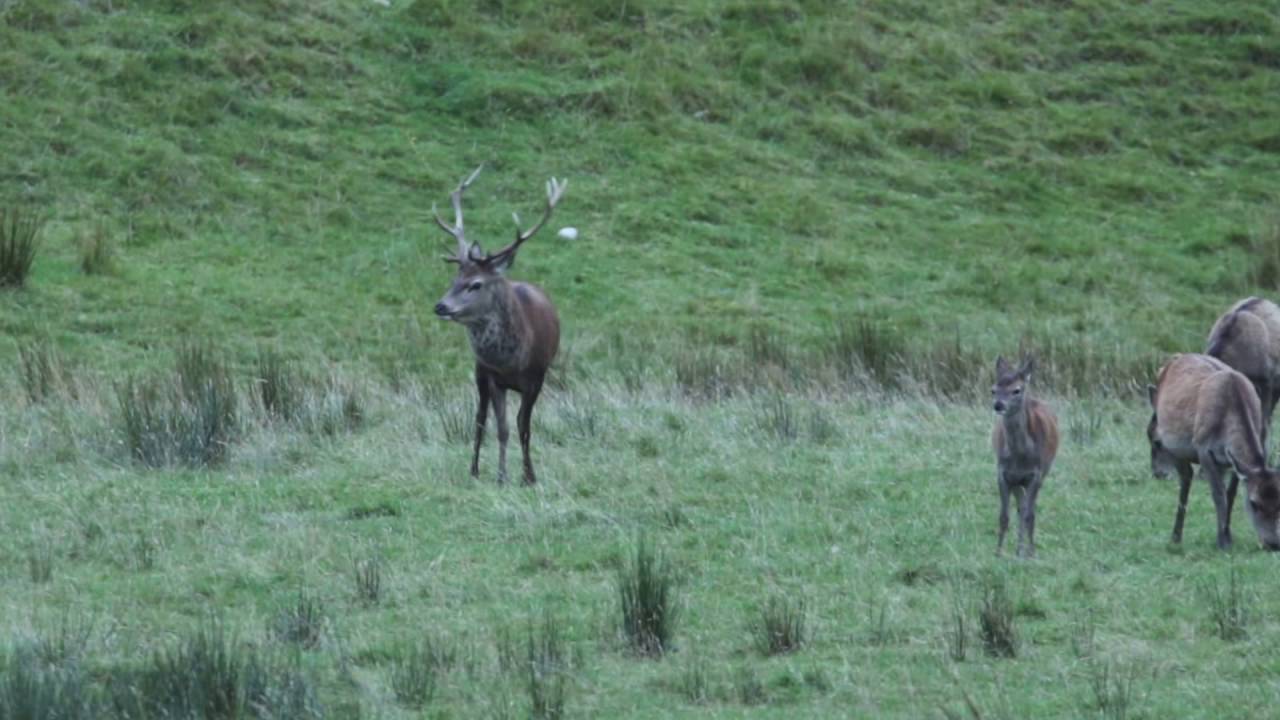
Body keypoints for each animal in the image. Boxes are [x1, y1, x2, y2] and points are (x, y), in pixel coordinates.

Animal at [431, 166, 566, 485]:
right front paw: (502, 475)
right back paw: (475, 469)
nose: (441, 306)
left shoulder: (537, 377)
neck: (511, 361)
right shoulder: (491, 377)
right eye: (455, 279)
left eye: (476, 284)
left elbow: (523, 426)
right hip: (479, 374)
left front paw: (529, 475)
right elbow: (500, 427)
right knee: (480, 419)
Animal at [991, 355, 1059, 558]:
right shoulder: (1003, 474)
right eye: (993, 390)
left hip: (1043, 473)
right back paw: (1018, 548)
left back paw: (1022, 549)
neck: (1020, 457)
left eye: (1016, 390)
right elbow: (1004, 516)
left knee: (1028, 509)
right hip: (1016, 481)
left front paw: (1031, 552)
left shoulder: (1035, 474)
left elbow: (1030, 514)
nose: (998, 405)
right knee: (1020, 507)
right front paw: (998, 552)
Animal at [1147, 353, 1280, 550]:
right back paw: (1176, 536)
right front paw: (1222, 541)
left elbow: (1230, 494)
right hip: (1174, 445)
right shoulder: (1204, 450)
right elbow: (1218, 495)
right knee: (1186, 477)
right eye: (1254, 503)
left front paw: (1228, 535)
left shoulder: (1234, 461)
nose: (1272, 544)